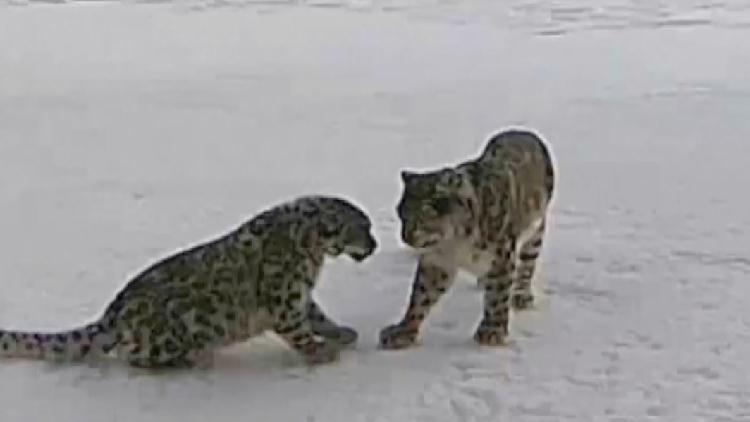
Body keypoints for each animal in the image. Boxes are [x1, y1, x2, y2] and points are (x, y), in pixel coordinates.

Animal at [0, 195, 377, 369]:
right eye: (363, 227)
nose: (374, 244)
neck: (314, 253)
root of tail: (113, 313)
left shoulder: (299, 296)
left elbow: (317, 314)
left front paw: (341, 332)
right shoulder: (284, 301)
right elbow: (299, 330)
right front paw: (321, 351)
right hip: (169, 332)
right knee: (134, 355)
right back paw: (190, 356)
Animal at [379, 128, 555, 349]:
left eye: (426, 211)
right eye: (401, 211)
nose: (406, 237)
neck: (454, 242)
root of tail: (521, 130)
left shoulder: (502, 256)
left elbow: (497, 296)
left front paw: (492, 331)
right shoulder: (437, 261)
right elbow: (421, 296)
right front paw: (403, 331)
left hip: (535, 234)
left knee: (527, 266)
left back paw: (521, 295)